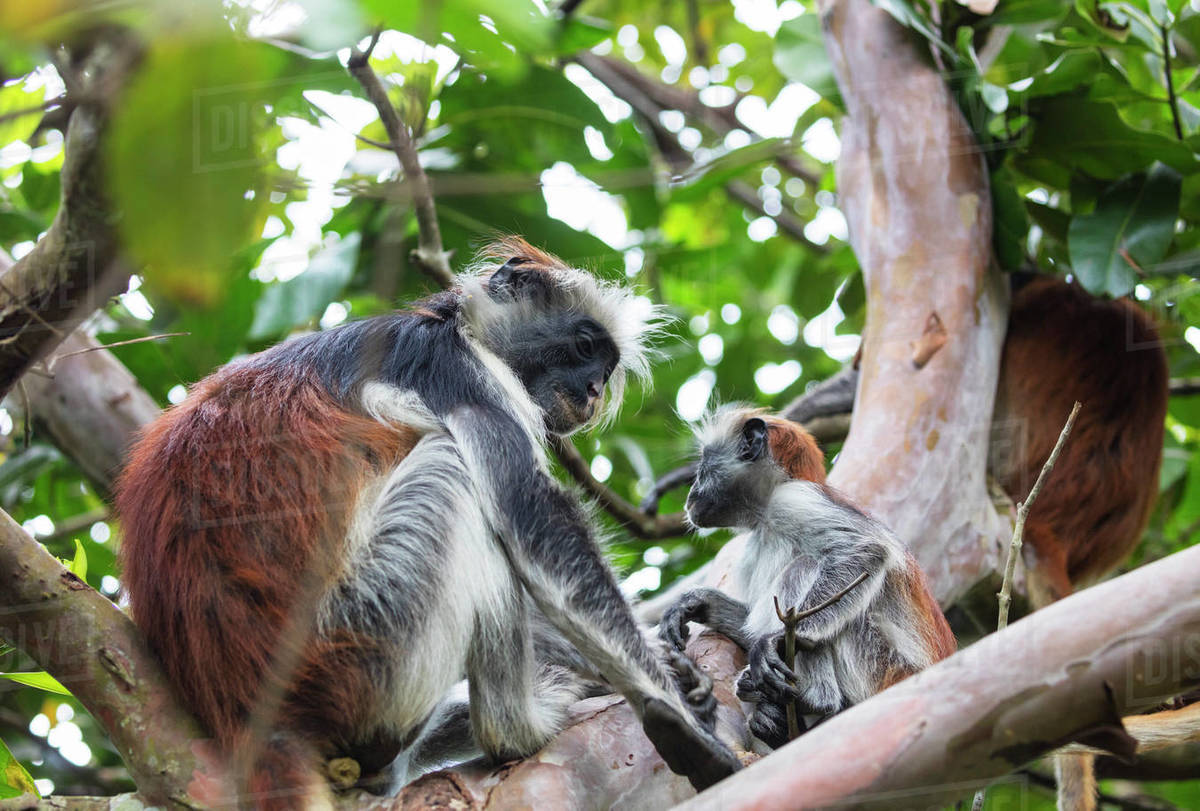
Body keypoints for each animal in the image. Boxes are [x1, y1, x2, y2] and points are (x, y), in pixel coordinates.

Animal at [115, 237, 740, 809]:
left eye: (605, 369)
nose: (590, 391)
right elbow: (531, 514)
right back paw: (518, 728)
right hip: (363, 643)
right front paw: (674, 708)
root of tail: (249, 715)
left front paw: (667, 667)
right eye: (585, 346)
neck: (450, 324)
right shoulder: (452, 367)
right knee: (454, 467)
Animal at [657, 406, 956, 748]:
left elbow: (866, 549)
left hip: (882, 664)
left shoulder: (794, 499)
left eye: (703, 467)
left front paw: (775, 640)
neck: (765, 518)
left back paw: (814, 698)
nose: (691, 493)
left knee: (805, 568)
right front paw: (696, 603)